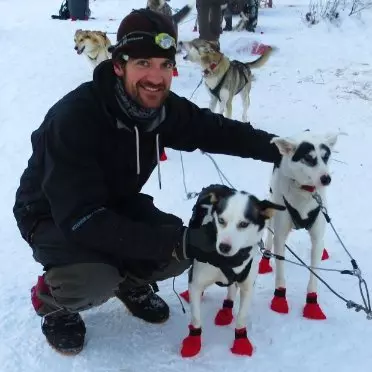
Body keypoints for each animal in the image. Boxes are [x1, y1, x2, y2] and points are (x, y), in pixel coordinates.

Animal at [180, 185, 284, 358]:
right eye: (221, 221)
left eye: (243, 224)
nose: (224, 247)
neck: (226, 260)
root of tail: (217, 185)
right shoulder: (196, 282)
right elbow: (195, 317)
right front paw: (193, 340)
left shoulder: (247, 285)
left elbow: (241, 317)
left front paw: (241, 340)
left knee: (231, 289)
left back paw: (226, 310)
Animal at [258, 131, 340, 320]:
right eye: (309, 158)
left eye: (326, 157)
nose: (326, 179)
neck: (304, 192)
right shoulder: (281, 236)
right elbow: (280, 271)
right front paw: (279, 298)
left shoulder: (317, 236)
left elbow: (314, 274)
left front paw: (312, 303)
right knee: (270, 236)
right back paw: (265, 259)